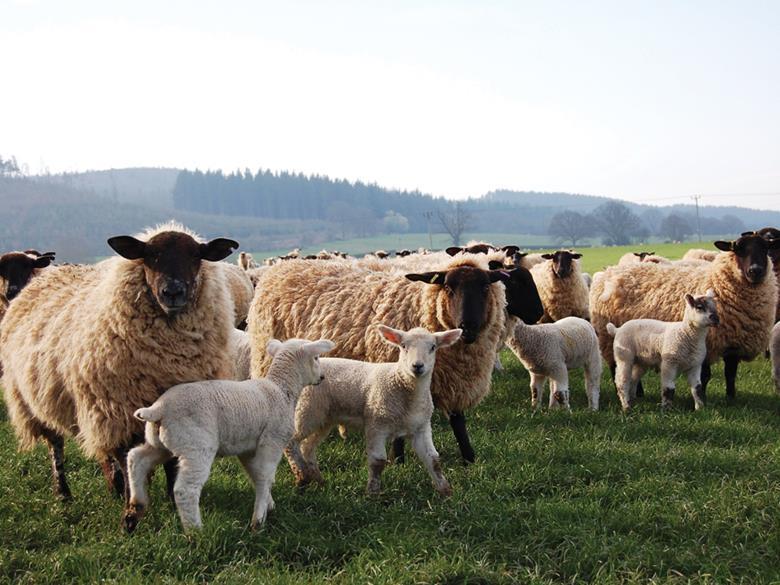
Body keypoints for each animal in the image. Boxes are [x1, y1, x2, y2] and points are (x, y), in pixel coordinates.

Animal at [1, 222, 238, 501]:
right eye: (149, 256)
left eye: (195, 256)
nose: (172, 292)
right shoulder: (116, 412)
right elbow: (124, 457)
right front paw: (131, 499)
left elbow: (170, 460)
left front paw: (171, 498)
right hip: (34, 399)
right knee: (56, 446)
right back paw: (64, 493)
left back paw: (111, 486)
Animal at [122, 337, 335, 532]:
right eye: (316, 357)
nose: (322, 377)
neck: (282, 389)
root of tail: (157, 409)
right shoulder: (272, 441)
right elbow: (265, 476)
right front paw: (258, 521)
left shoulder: (247, 447)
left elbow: (255, 475)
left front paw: (268, 505)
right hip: (196, 445)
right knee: (184, 490)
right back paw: (195, 532)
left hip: (161, 442)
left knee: (136, 459)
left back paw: (135, 510)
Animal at [248, 253, 542, 463]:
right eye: (448, 287)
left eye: (484, 287)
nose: (467, 326)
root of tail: (281, 269)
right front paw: (398, 460)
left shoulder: (454, 380)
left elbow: (458, 422)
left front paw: (469, 457)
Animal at [286, 325, 461, 495]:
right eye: (404, 346)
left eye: (433, 347)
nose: (417, 366)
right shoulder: (376, 424)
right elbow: (378, 461)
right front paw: (373, 493)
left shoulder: (421, 427)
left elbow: (433, 459)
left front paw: (445, 492)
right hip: (306, 410)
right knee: (291, 443)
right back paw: (302, 477)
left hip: (322, 417)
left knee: (307, 447)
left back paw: (317, 479)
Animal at [591, 234, 779, 402]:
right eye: (738, 249)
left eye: (765, 248)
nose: (755, 271)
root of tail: (608, 272)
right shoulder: (704, 342)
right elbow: (704, 376)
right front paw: (701, 397)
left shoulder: (733, 345)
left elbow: (730, 374)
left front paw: (731, 399)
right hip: (610, 339)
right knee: (616, 368)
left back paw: (638, 393)